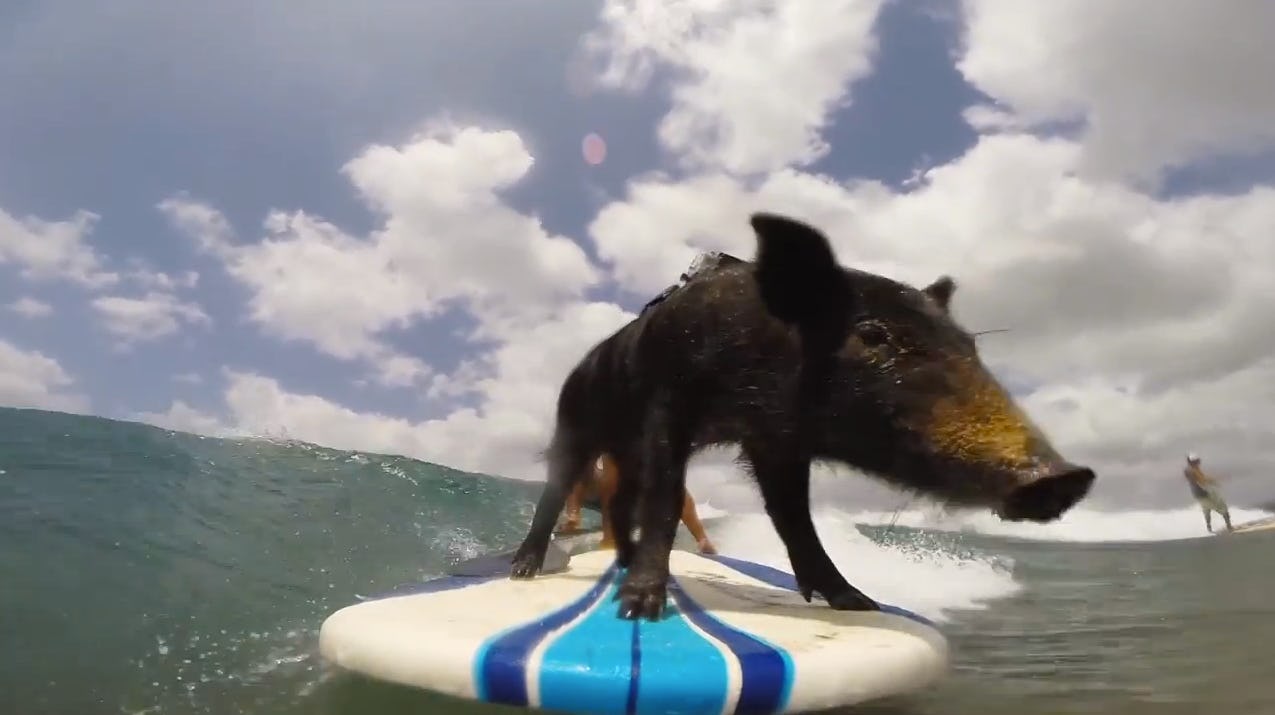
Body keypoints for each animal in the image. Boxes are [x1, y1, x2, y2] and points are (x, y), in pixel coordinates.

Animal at [509, 212, 1095, 621]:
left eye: (970, 345)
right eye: (872, 335)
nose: (1068, 478)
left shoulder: (776, 441)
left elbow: (795, 518)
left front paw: (858, 603)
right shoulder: (669, 406)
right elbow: (667, 501)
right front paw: (639, 611)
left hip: (624, 451)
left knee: (621, 499)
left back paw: (623, 562)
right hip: (574, 426)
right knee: (560, 491)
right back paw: (525, 570)